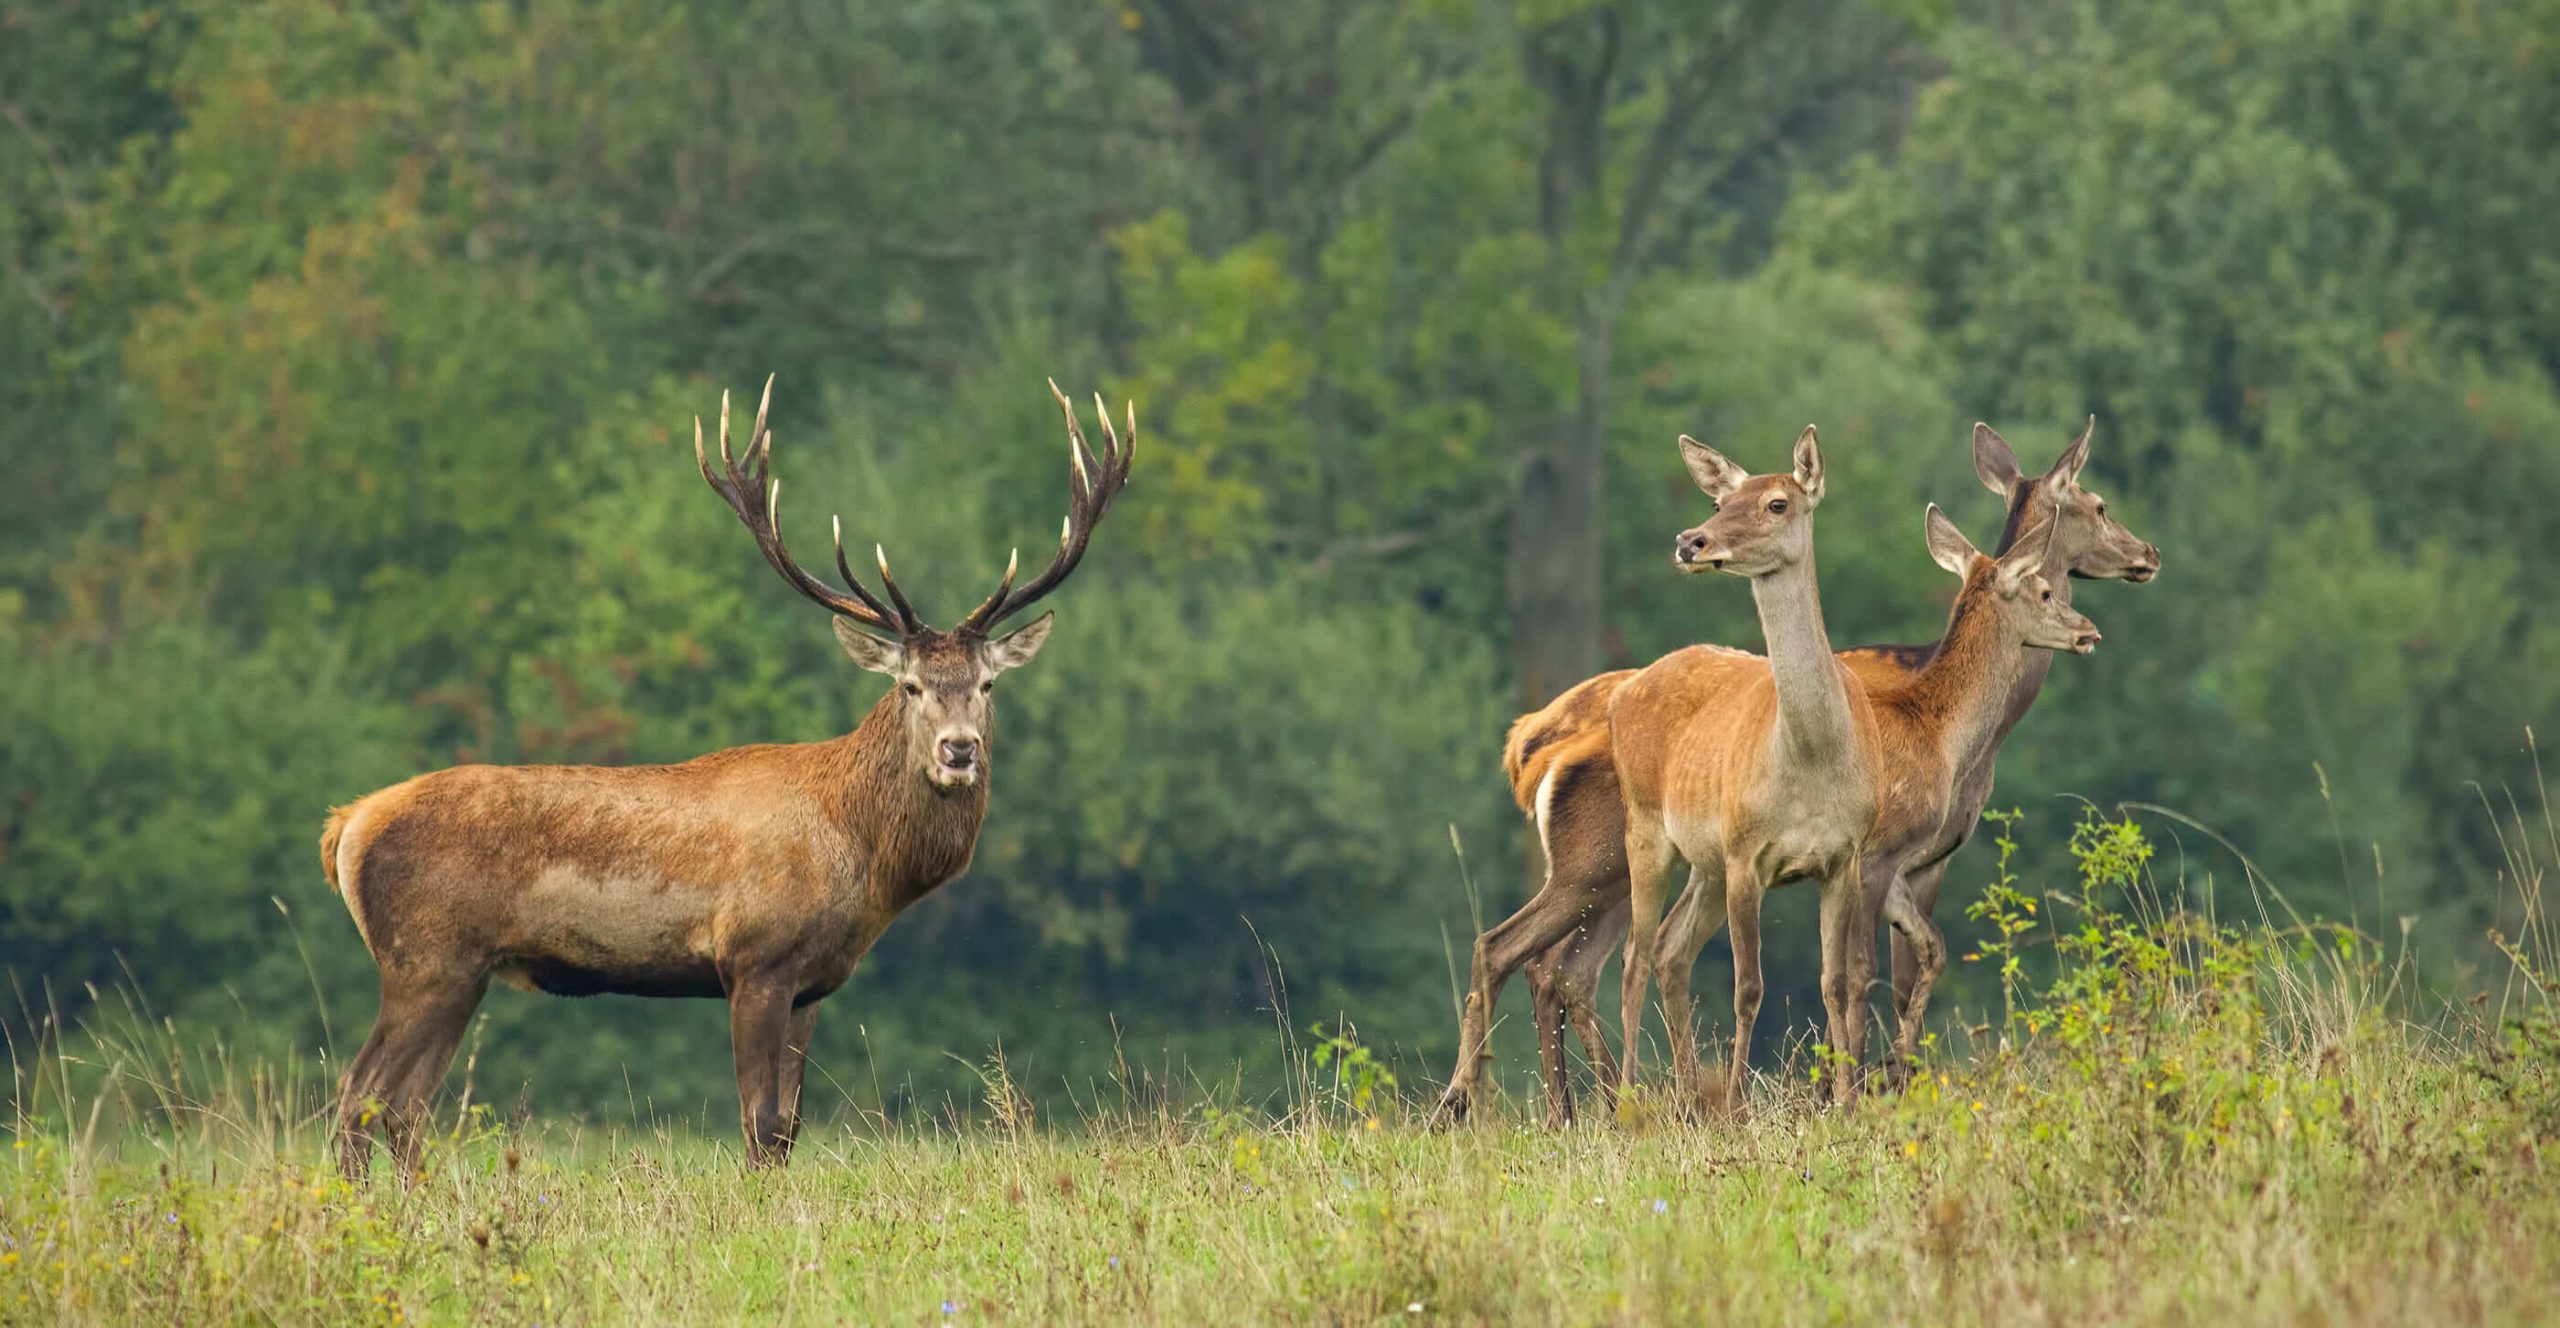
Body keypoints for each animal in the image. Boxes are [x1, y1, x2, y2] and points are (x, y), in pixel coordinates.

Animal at [319, 377, 1132, 1178]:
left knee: (402, 1108)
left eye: (987, 685)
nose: (959, 750)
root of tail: (348, 824)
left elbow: (790, 1129)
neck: (860, 856)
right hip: (427, 957)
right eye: (910, 686)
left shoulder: (813, 984)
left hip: (463, 970)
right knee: (360, 1093)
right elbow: (760, 1122)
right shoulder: (754, 958)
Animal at [1507, 421, 2156, 1124]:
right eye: (2100, 506)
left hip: (1675, 869)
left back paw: (1628, 1102)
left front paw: (1870, 1084)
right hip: (1612, 859)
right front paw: (1861, 1085)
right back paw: (1583, 1102)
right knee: (1560, 958)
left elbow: (1891, 964)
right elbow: (1862, 969)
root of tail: (1529, 746)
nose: (2147, 553)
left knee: (1624, 958)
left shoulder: (1901, 861)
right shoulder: (1884, 852)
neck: (1951, 738)